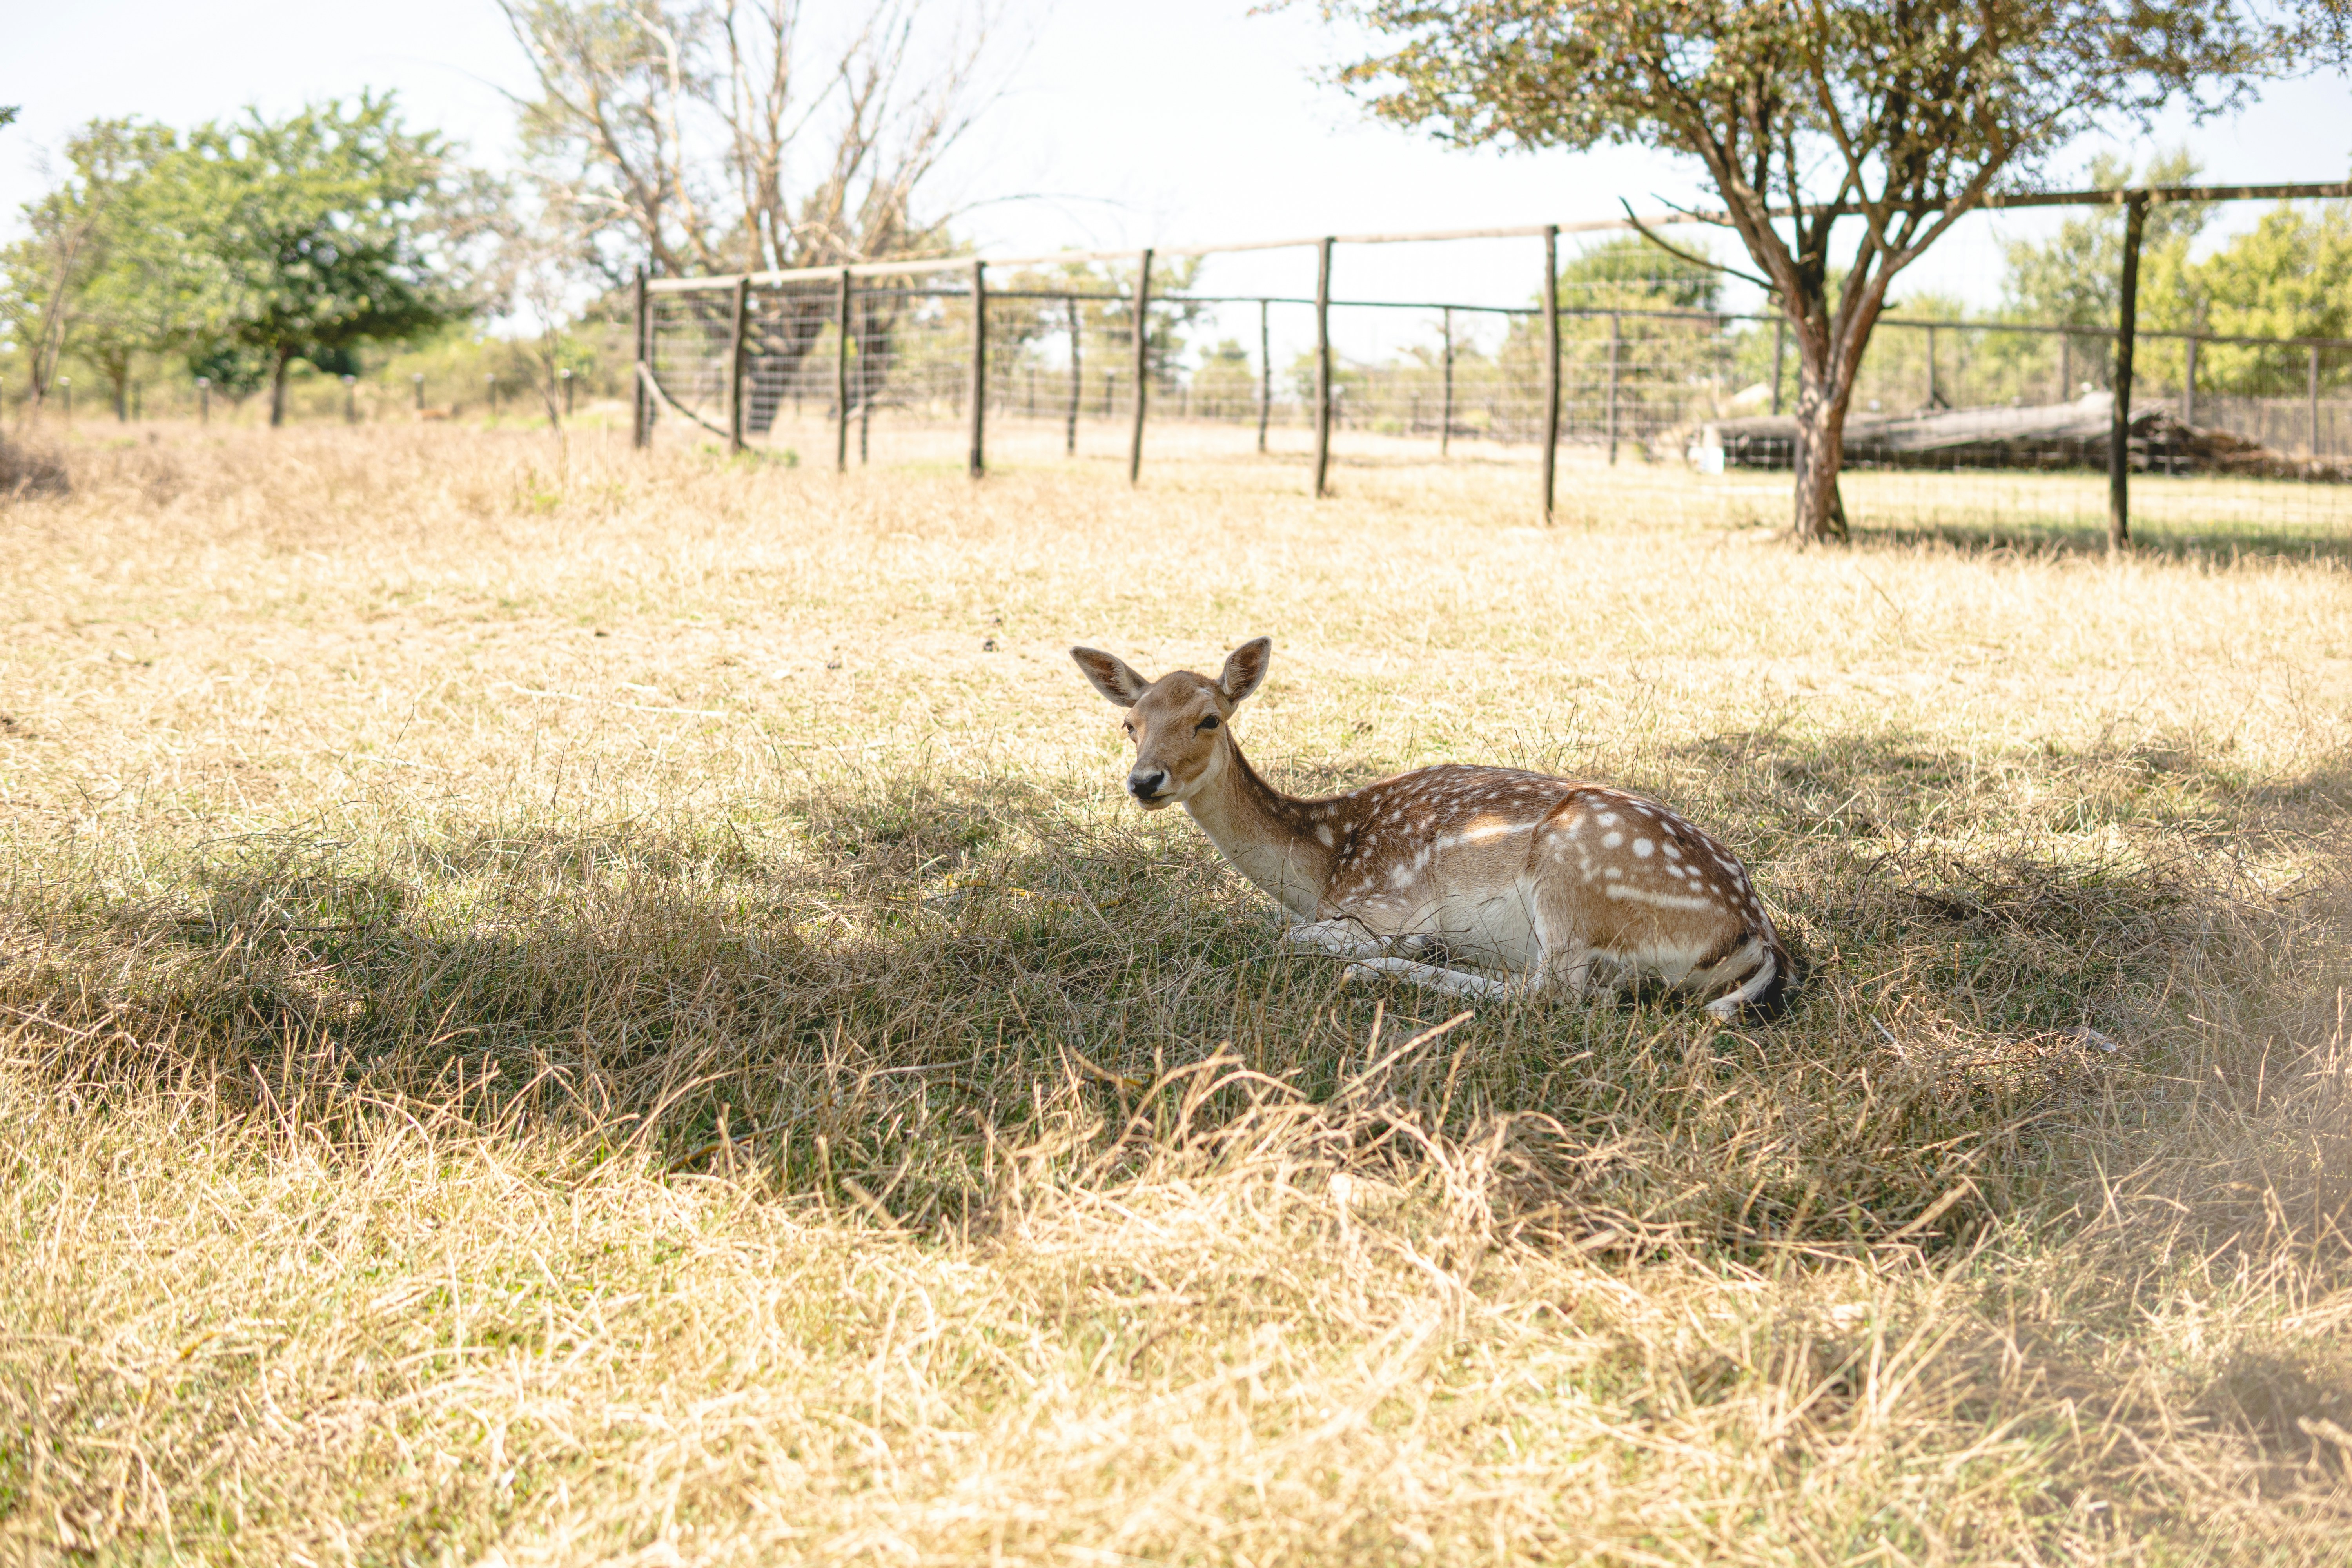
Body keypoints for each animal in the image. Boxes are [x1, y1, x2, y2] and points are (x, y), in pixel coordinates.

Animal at [1070, 637, 1793, 1019]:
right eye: (1129, 723)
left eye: (1209, 719)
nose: (1145, 781)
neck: (1323, 864)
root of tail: (1757, 933)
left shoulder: (1381, 906)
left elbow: (1281, 936)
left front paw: (1406, 949)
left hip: (1573, 878)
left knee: (1552, 994)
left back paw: (1394, 967)